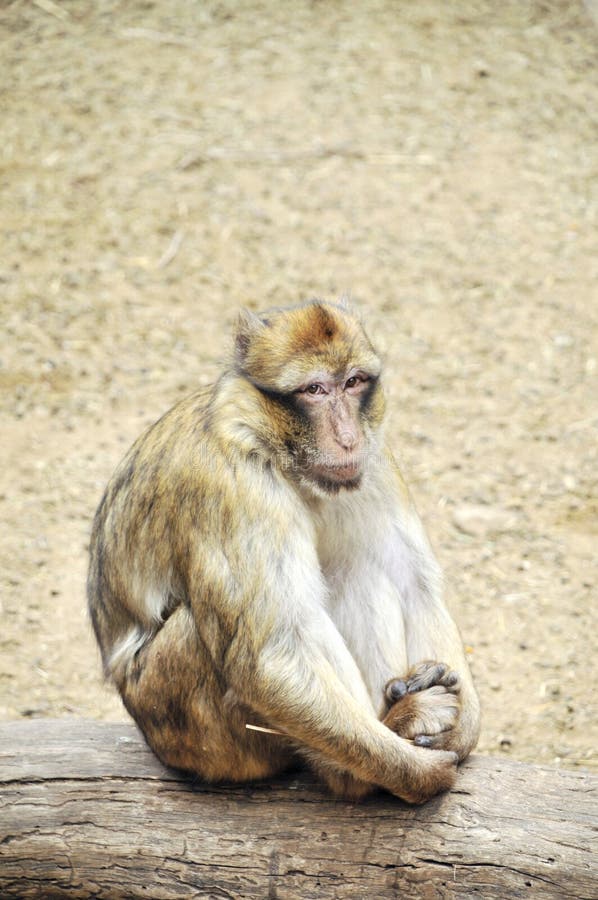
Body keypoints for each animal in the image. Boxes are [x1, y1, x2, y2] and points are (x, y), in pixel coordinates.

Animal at [87, 299, 480, 804]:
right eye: (314, 390)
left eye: (353, 382)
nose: (349, 437)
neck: (281, 454)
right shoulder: (234, 483)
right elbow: (270, 656)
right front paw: (415, 772)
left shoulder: (375, 465)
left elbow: (416, 586)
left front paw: (463, 728)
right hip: (190, 727)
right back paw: (364, 763)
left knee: (362, 573)